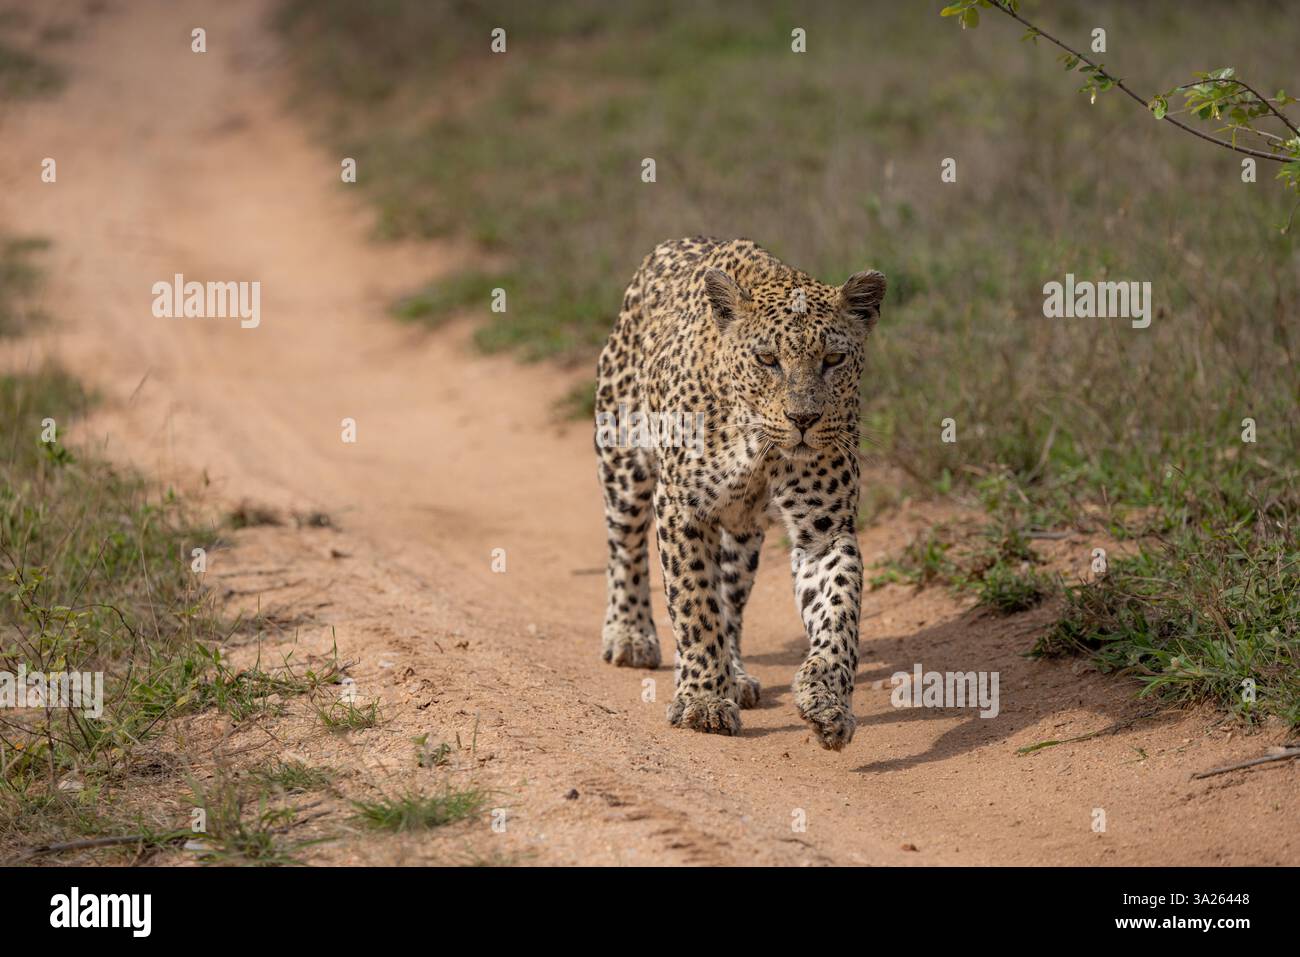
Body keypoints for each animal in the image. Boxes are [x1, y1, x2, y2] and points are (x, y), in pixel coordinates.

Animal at [594, 236, 886, 751]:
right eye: (767, 360)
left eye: (833, 360)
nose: (803, 419)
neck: (759, 447)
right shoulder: (681, 509)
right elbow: (694, 606)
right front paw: (704, 702)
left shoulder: (824, 531)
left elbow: (839, 614)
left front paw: (827, 701)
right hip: (622, 461)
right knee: (625, 550)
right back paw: (630, 635)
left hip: (742, 535)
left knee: (729, 600)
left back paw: (737, 674)